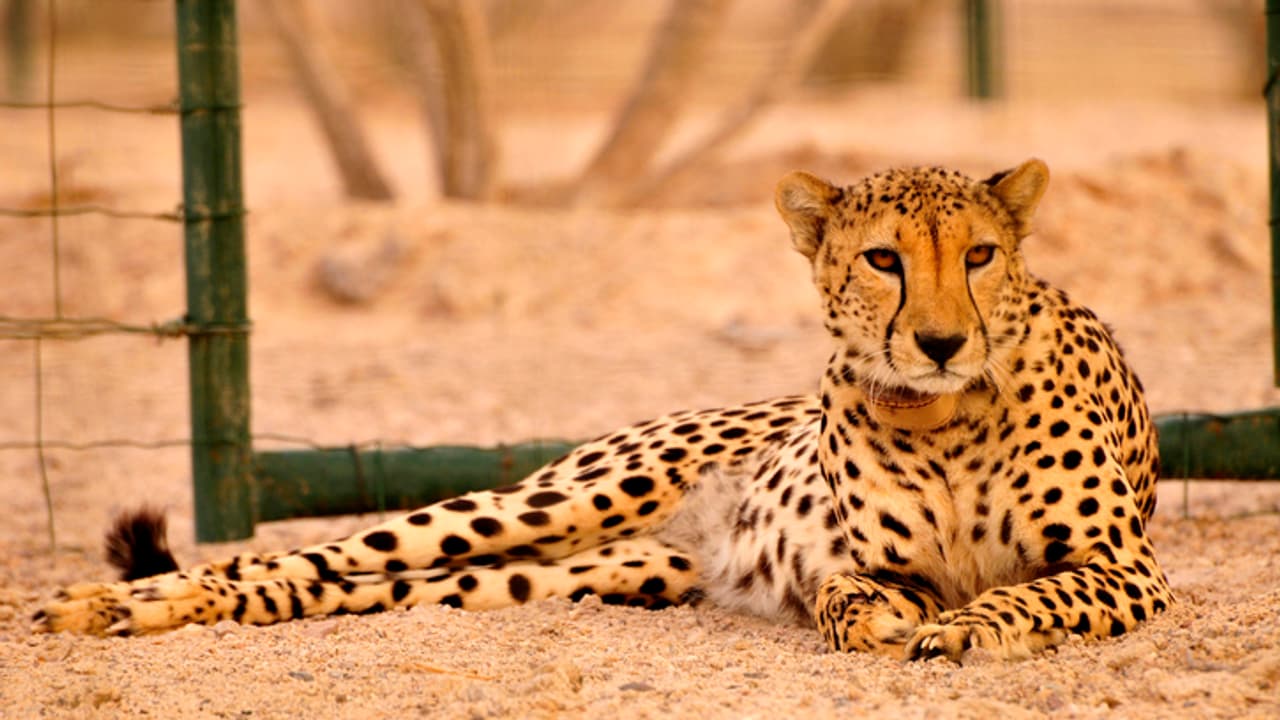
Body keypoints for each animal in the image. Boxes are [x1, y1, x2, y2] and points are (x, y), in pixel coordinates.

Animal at [33, 158, 1173, 661]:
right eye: (884, 260)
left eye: (977, 255)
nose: (939, 343)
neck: (944, 420)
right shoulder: (866, 561)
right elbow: (848, 593)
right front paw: (881, 622)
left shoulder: (1128, 568)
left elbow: (1031, 594)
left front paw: (964, 627)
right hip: (544, 504)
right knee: (296, 558)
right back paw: (104, 605)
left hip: (569, 572)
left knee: (348, 587)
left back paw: (132, 611)